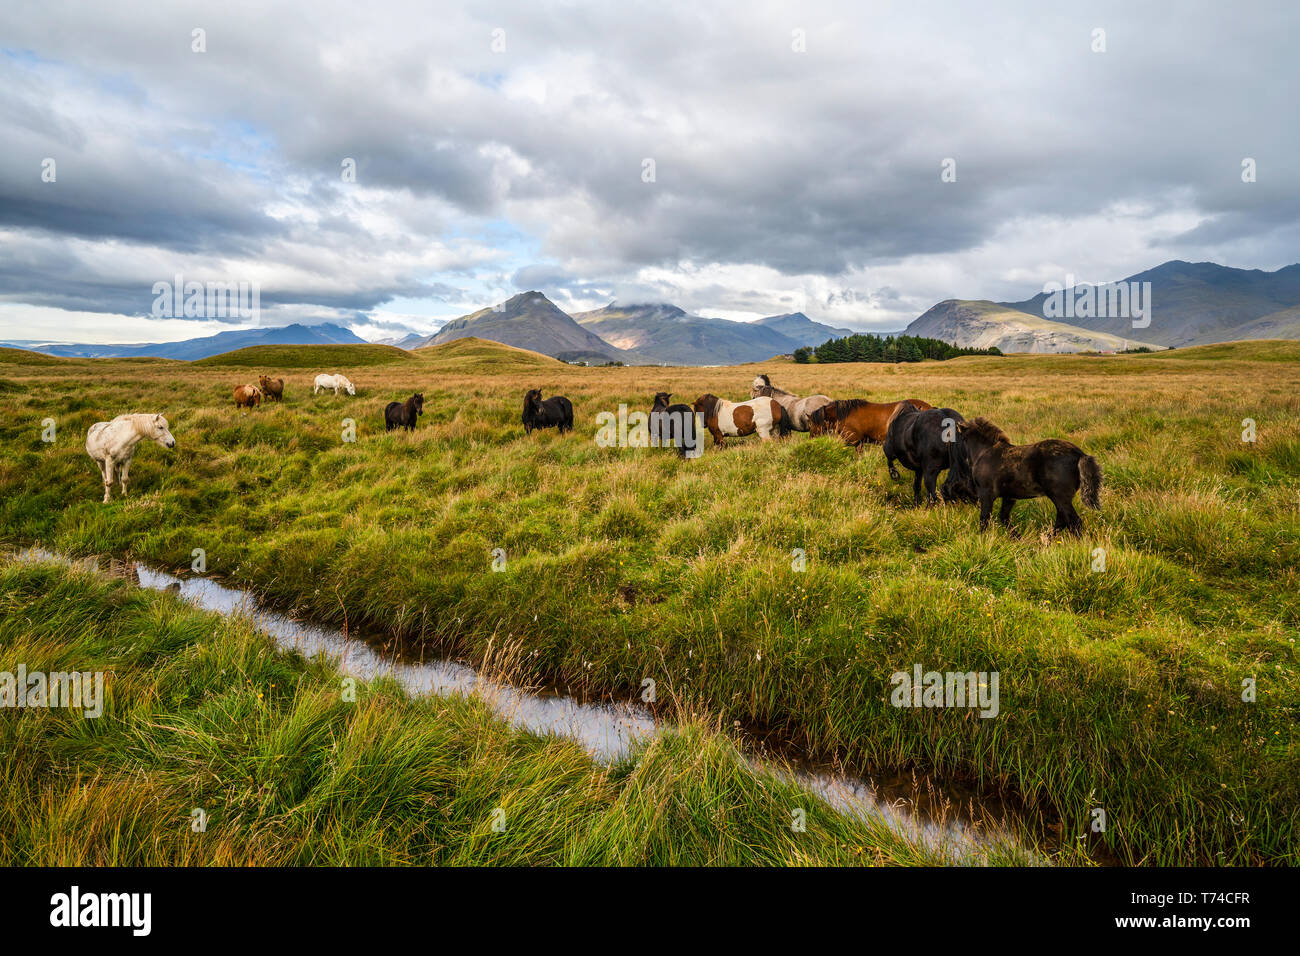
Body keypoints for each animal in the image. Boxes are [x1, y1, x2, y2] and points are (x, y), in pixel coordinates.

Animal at [951, 418, 1103, 536]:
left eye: (961, 438)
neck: (984, 452)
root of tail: (1080, 455)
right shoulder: (1009, 497)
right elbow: (1004, 518)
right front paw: (1018, 538)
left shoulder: (986, 494)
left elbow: (984, 520)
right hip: (1061, 497)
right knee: (1063, 521)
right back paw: (1045, 541)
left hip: (1059, 496)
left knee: (1073, 522)